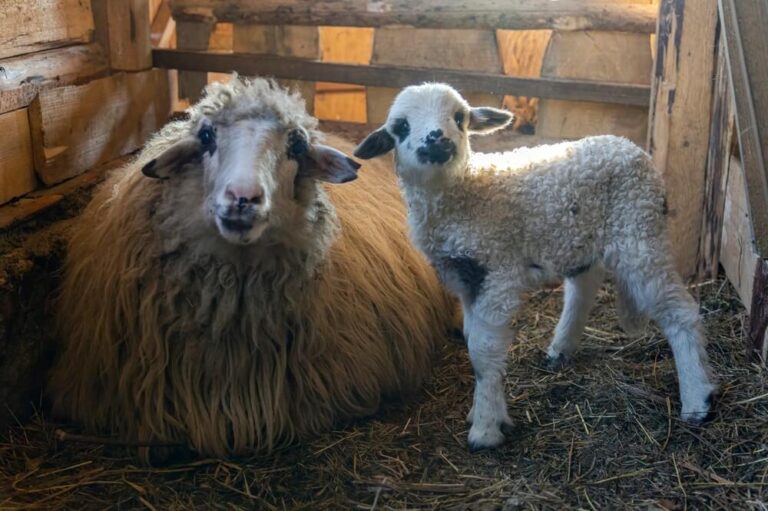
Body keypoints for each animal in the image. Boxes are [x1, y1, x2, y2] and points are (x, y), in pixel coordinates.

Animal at [354, 83, 716, 452]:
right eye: (401, 127)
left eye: (460, 118)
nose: (438, 139)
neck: (464, 191)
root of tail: (631, 148)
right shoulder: (465, 278)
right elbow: (473, 341)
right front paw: (486, 412)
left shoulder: (496, 270)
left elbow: (483, 351)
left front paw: (485, 430)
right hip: (582, 237)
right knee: (584, 286)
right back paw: (561, 348)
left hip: (638, 229)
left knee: (678, 310)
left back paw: (697, 400)